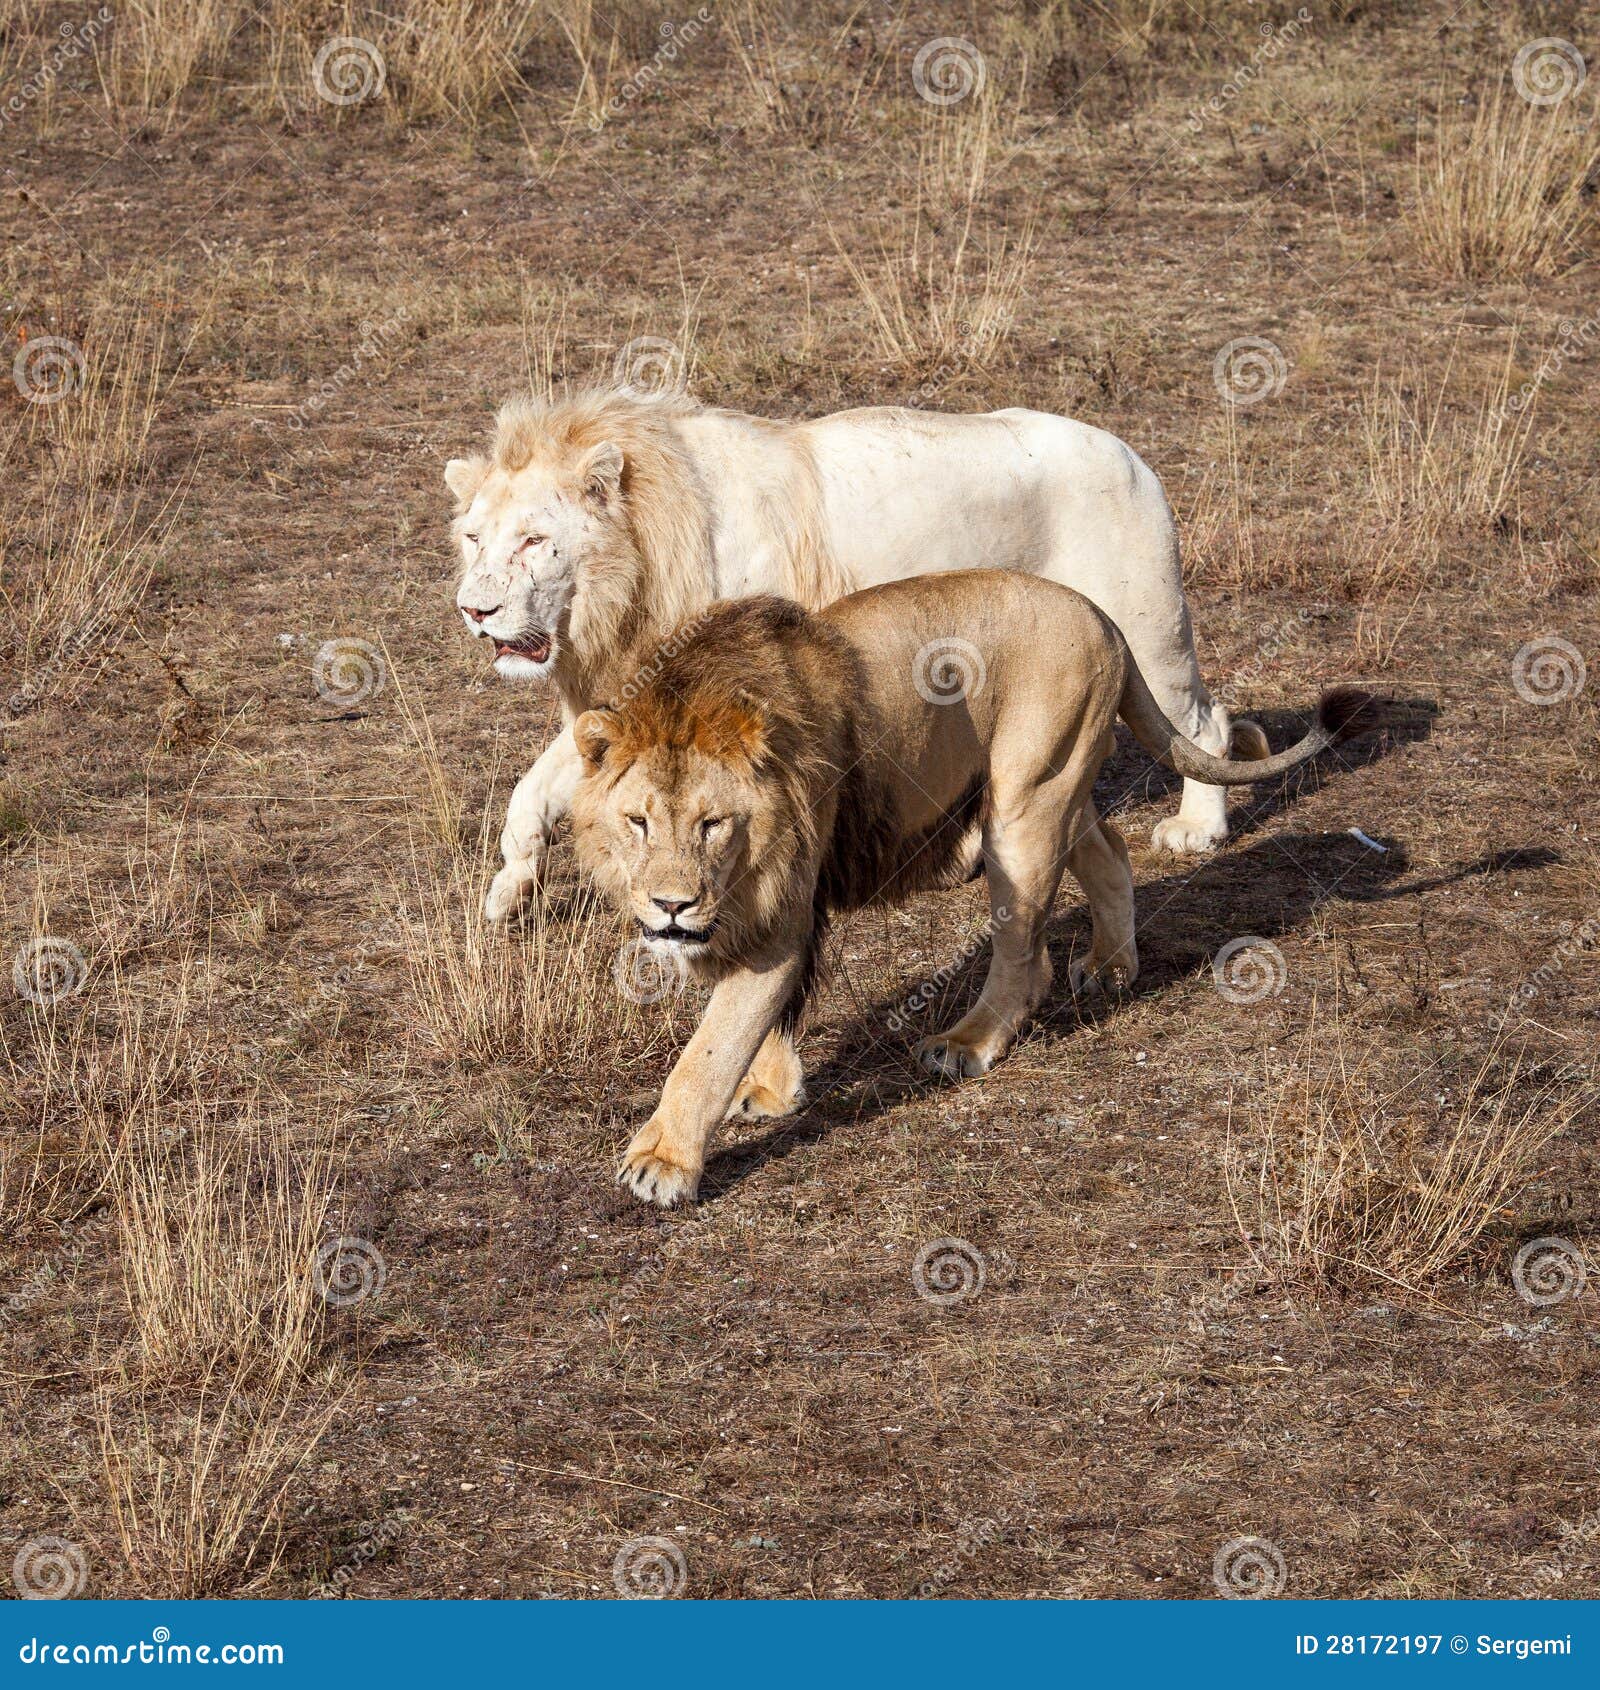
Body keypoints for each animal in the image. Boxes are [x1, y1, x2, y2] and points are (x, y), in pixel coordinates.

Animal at [447, 389, 1267, 925]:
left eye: (533, 541)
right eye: (474, 538)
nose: (474, 611)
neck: (634, 575)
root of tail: (1130, 453)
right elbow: (531, 794)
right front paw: (509, 890)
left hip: (1146, 625)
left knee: (1206, 721)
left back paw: (1197, 828)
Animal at [570, 571, 1373, 1207]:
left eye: (712, 825)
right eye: (638, 822)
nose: (671, 907)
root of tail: (1101, 615)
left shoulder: (780, 915)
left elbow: (708, 1049)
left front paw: (660, 1162)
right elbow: (756, 1024)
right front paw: (769, 1090)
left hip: (1024, 803)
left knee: (1025, 954)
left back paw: (966, 1043)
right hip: (1054, 789)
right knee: (1109, 853)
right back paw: (1112, 966)